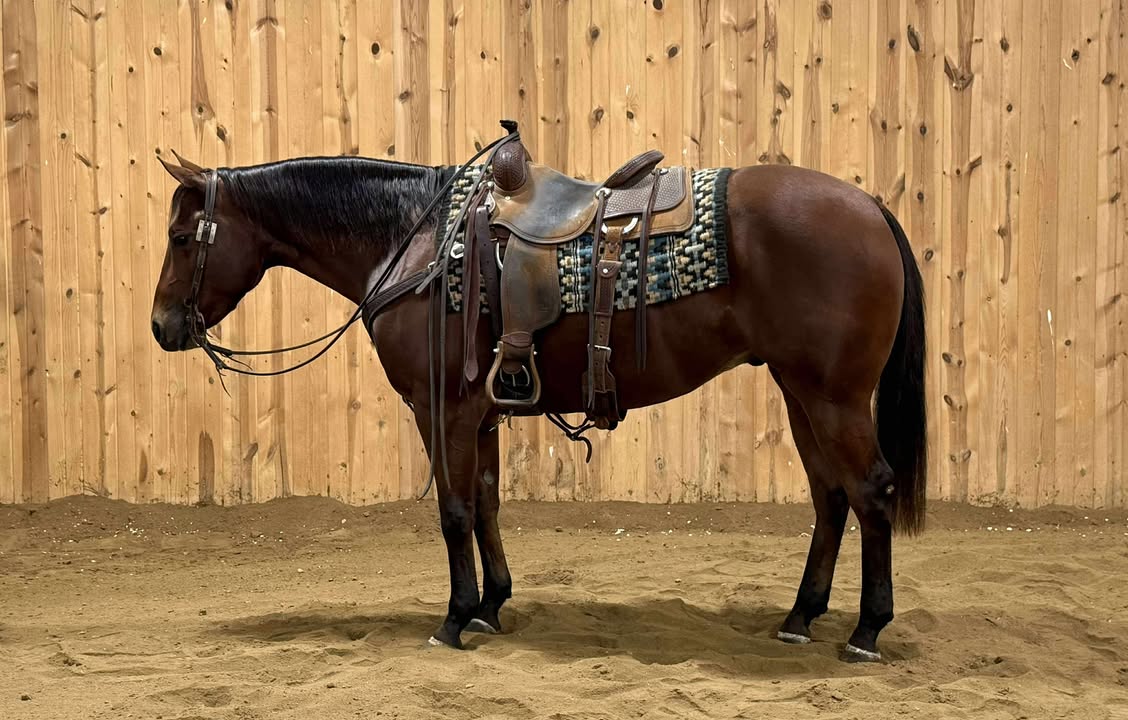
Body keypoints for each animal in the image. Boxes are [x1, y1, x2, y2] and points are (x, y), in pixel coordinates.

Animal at [150, 143, 926, 663]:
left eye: (182, 237)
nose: (162, 326)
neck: (416, 241)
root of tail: (870, 207)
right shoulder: (483, 411)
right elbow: (488, 503)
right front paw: (492, 605)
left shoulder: (442, 407)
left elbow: (455, 510)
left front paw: (455, 618)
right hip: (801, 392)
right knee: (831, 497)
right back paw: (800, 617)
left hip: (834, 397)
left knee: (872, 491)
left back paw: (865, 631)